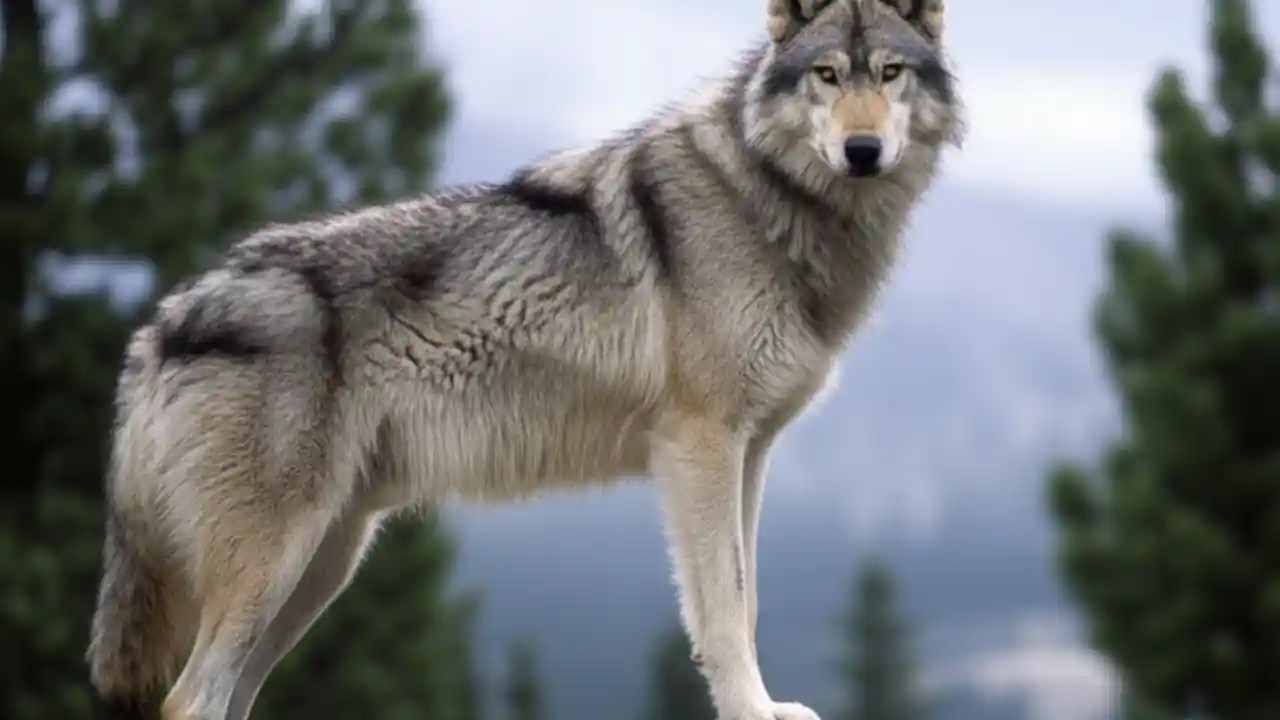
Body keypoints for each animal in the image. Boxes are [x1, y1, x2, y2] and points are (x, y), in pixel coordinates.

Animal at [87, 0, 961, 717]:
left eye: (889, 73)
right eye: (826, 74)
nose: (861, 149)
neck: (770, 197)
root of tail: (159, 324)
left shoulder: (751, 453)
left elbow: (744, 603)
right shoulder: (702, 445)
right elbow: (723, 609)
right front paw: (752, 711)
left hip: (322, 566)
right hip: (276, 564)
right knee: (187, 699)